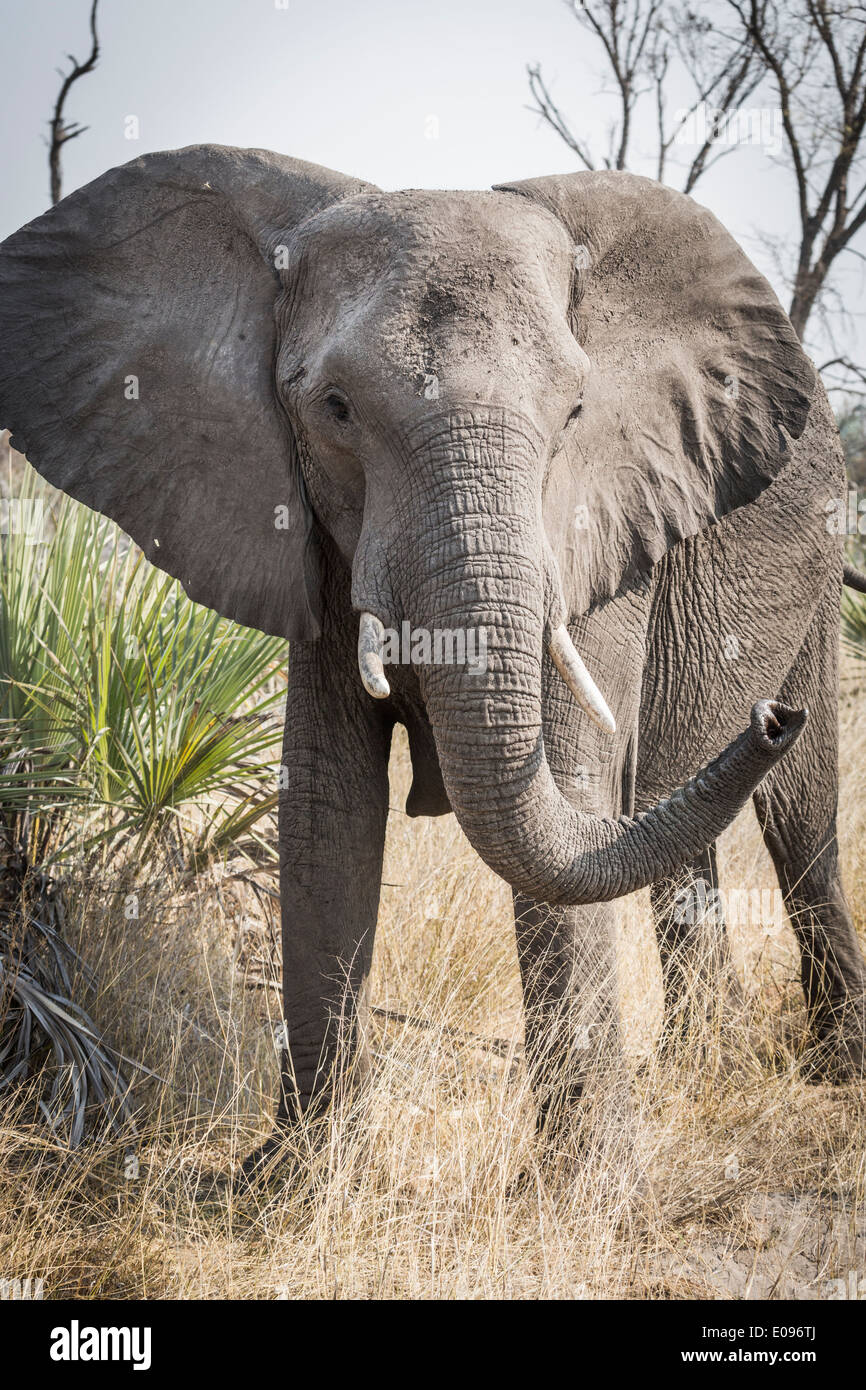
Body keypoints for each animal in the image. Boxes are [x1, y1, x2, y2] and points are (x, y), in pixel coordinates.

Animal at [1, 145, 864, 1180]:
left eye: (577, 411)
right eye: (332, 409)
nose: (768, 722)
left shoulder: (599, 528)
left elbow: (571, 786)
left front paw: (589, 1187)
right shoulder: (312, 538)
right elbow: (326, 806)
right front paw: (296, 1182)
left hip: (816, 569)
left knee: (799, 825)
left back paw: (831, 1066)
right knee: (679, 813)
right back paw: (705, 1061)